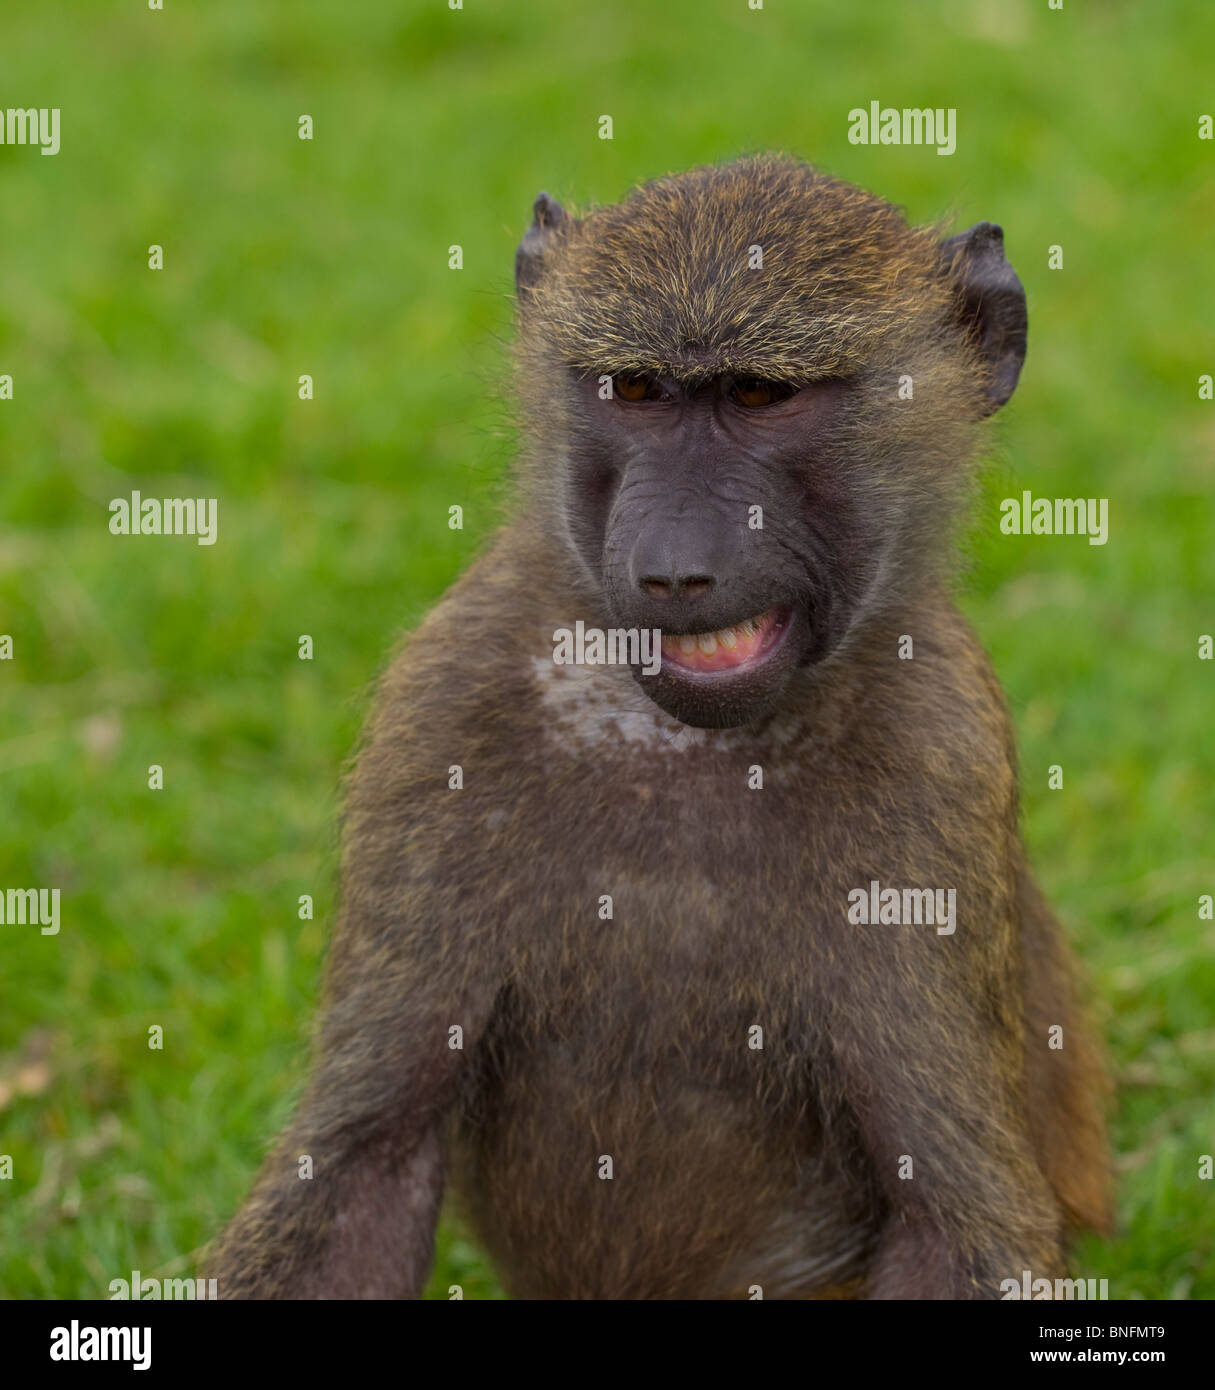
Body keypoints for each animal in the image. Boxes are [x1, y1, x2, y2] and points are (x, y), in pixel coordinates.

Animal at [206, 156, 1111, 1300]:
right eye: (635, 390)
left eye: (760, 394)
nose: (676, 567)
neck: (683, 738)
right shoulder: (440, 706)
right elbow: (363, 1161)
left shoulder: (945, 754)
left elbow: (957, 1215)